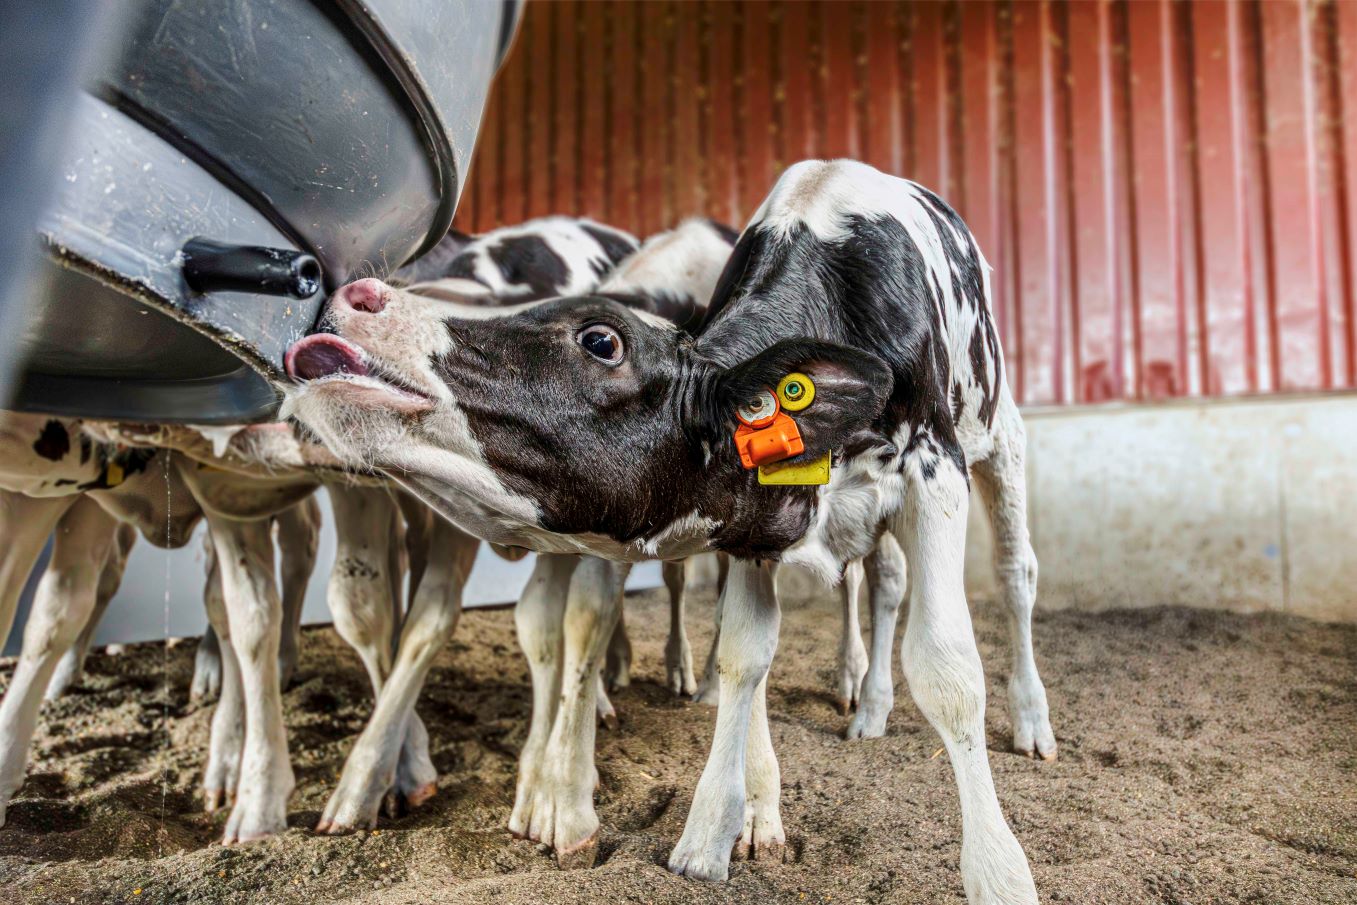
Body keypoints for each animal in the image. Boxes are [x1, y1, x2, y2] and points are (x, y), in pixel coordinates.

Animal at [282, 160, 1051, 902]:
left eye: (601, 340)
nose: (360, 296)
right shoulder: (752, 527)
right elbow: (747, 655)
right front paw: (718, 828)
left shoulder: (934, 469)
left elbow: (948, 667)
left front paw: (1000, 873)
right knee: (883, 583)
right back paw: (866, 708)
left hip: (999, 437)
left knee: (1011, 577)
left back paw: (1023, 720)